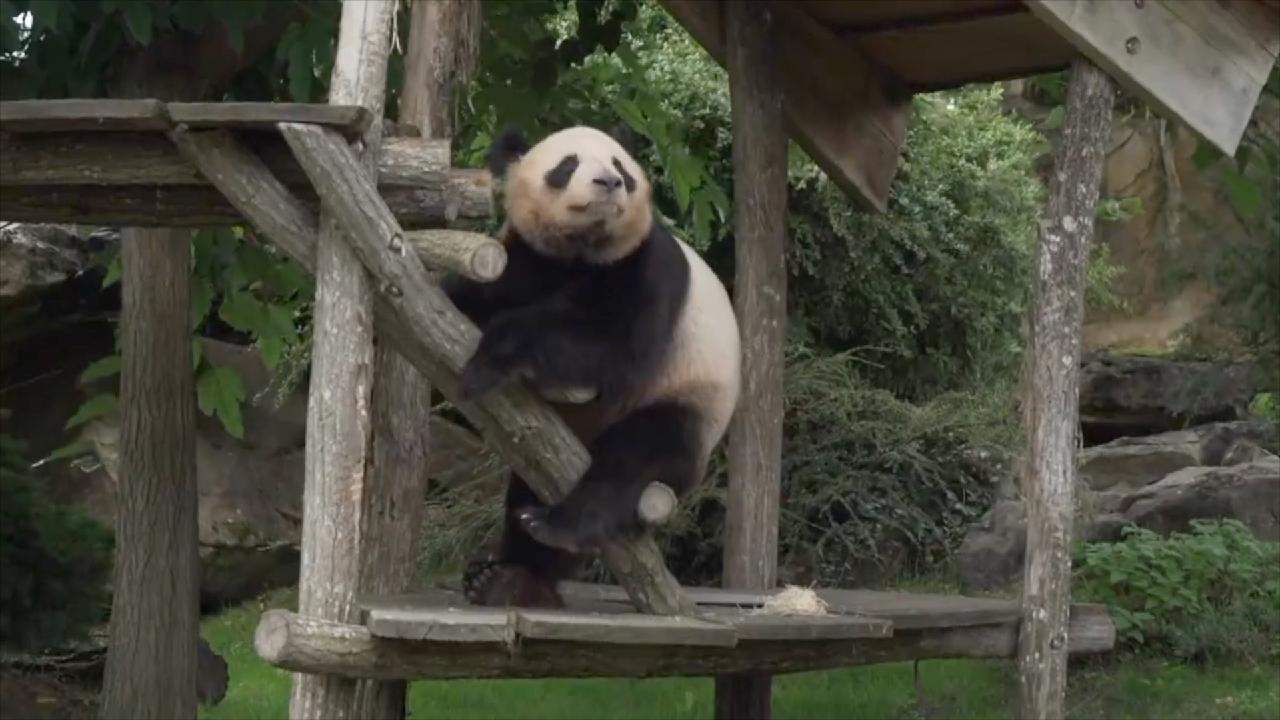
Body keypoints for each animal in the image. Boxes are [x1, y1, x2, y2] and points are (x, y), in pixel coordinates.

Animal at [440, 124, 741, 609]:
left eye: (621, 167)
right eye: (568, 166)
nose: (609, 182)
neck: (580, 250)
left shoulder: (645, 265)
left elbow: (615, 345)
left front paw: (490, 358)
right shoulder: (529, 257)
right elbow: (483, 291)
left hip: (689, 409)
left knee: (633, 457)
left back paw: (555, 528)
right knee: (525, 487)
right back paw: (508, 575)